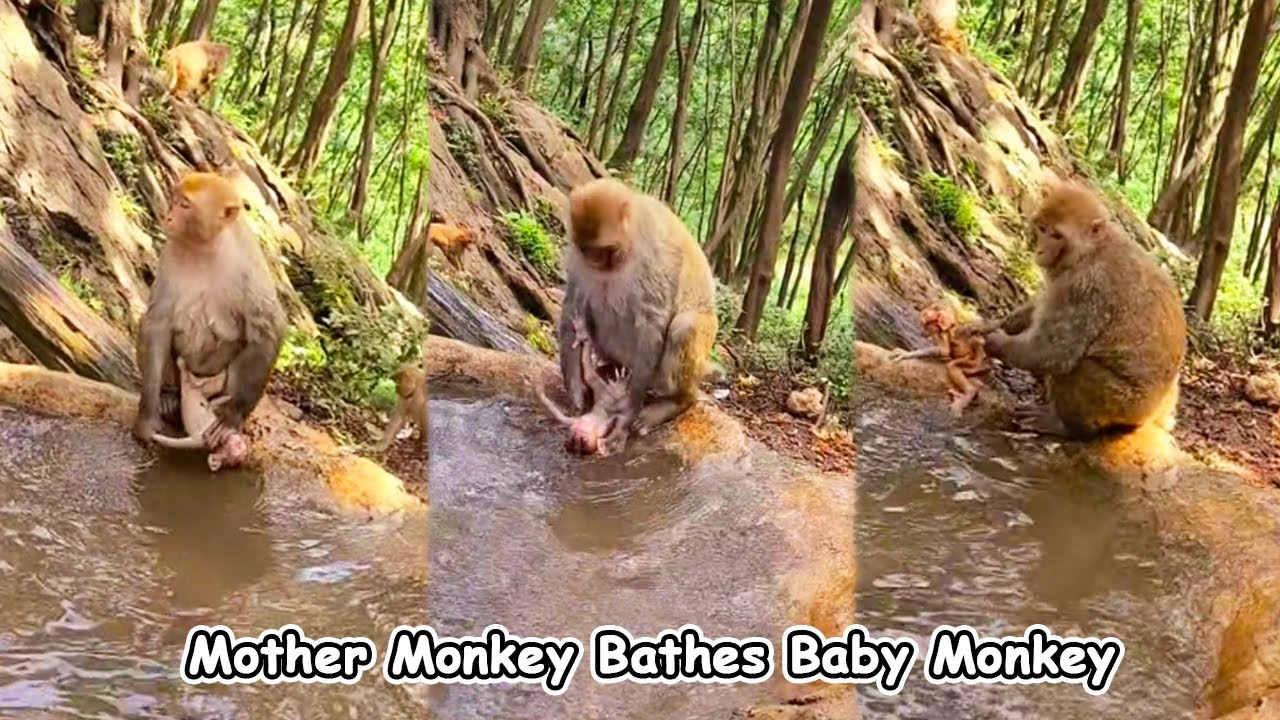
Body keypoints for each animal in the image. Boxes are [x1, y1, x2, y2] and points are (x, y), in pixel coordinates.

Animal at [133, 171, 287, 451]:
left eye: (185, 205)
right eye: (174, 200)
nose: (168, 217)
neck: (205, 247)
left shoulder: (247, 267)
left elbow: (267, 330)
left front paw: (232, 416)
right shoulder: (171, 251)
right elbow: (158, 322)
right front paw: (148, 416)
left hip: (216, 381)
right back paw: (169, 396)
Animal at [558, 178, 718, 453]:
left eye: (604, 250)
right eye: (588, 251)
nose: (595, 263)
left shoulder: (653, 256)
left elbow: (652, 322)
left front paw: (627, 413)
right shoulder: (576, 254)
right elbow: (573, 304)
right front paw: (576, 390)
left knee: (684, 327)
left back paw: (679, 401)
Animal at [982, 180, 1187, 438]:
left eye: (1057, 235)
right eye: (1042, 229)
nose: (1041, 251)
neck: (1093, 250)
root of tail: (1153, 415)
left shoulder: (1084, 288)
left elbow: (1055, 352)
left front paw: (998, 343)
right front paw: (1012, 321)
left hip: (1124, 404)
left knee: (1080, 368)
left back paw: (1065, 426)